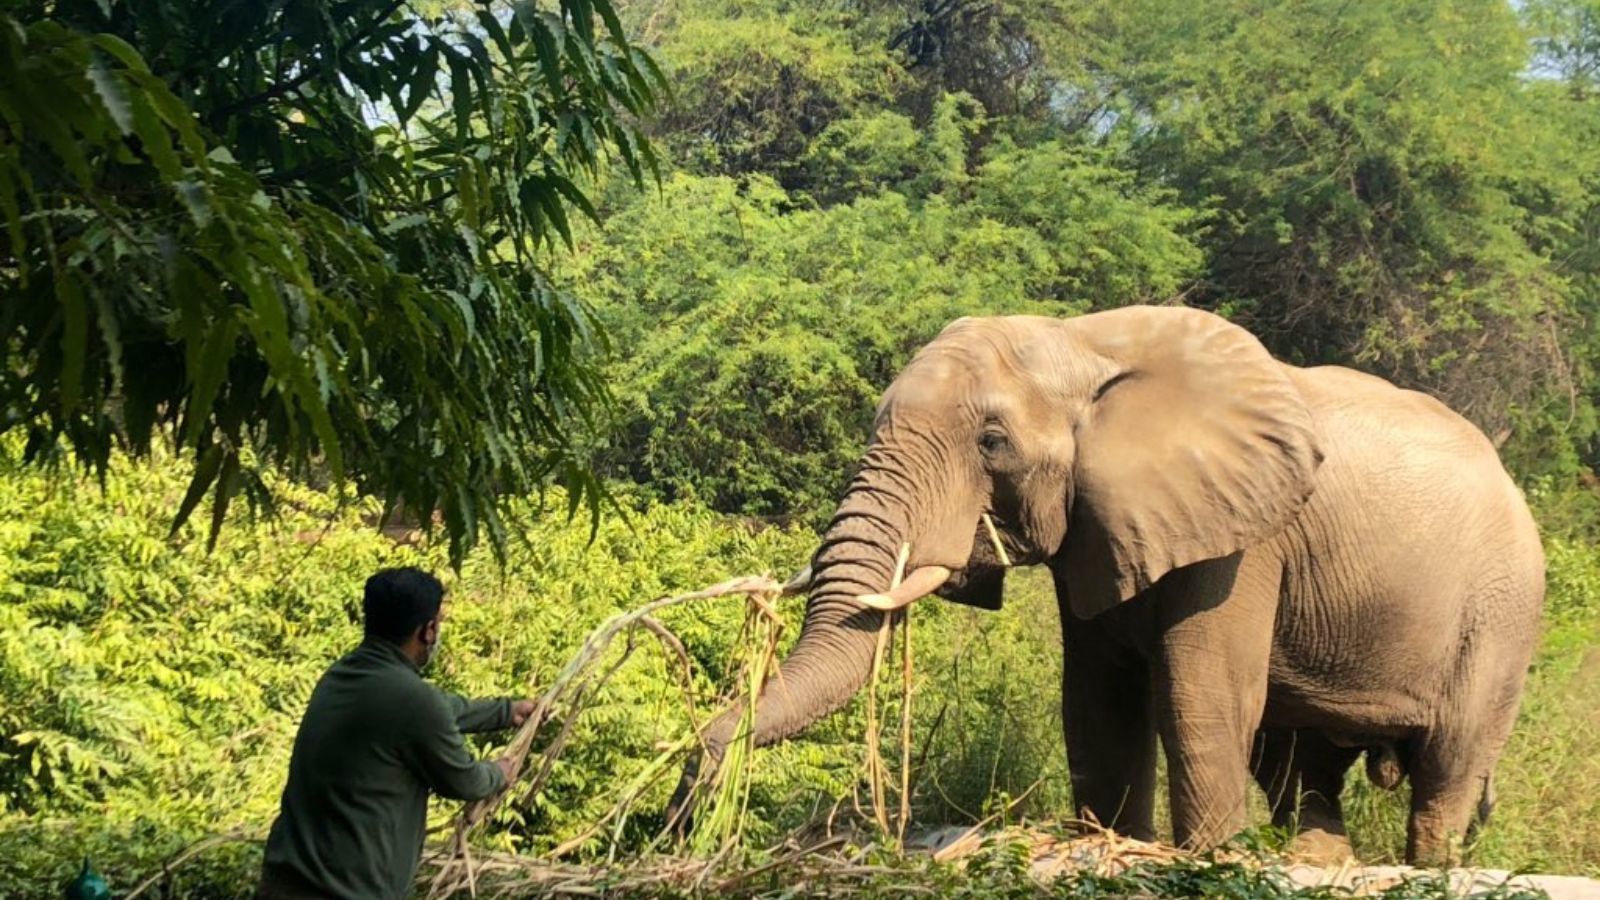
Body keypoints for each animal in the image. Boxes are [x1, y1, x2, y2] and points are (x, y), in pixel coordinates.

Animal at [667, 305, 1545, 865]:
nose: (684, 803)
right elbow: (1095, 700)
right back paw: (1317, 863)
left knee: (1448, 766)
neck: (1081, 342)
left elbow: (1198, 697)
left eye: (992, 442)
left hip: (1502, 612)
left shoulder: (1246, 539)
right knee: (1299, 761)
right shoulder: (1098, 524)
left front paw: (1208, 863)